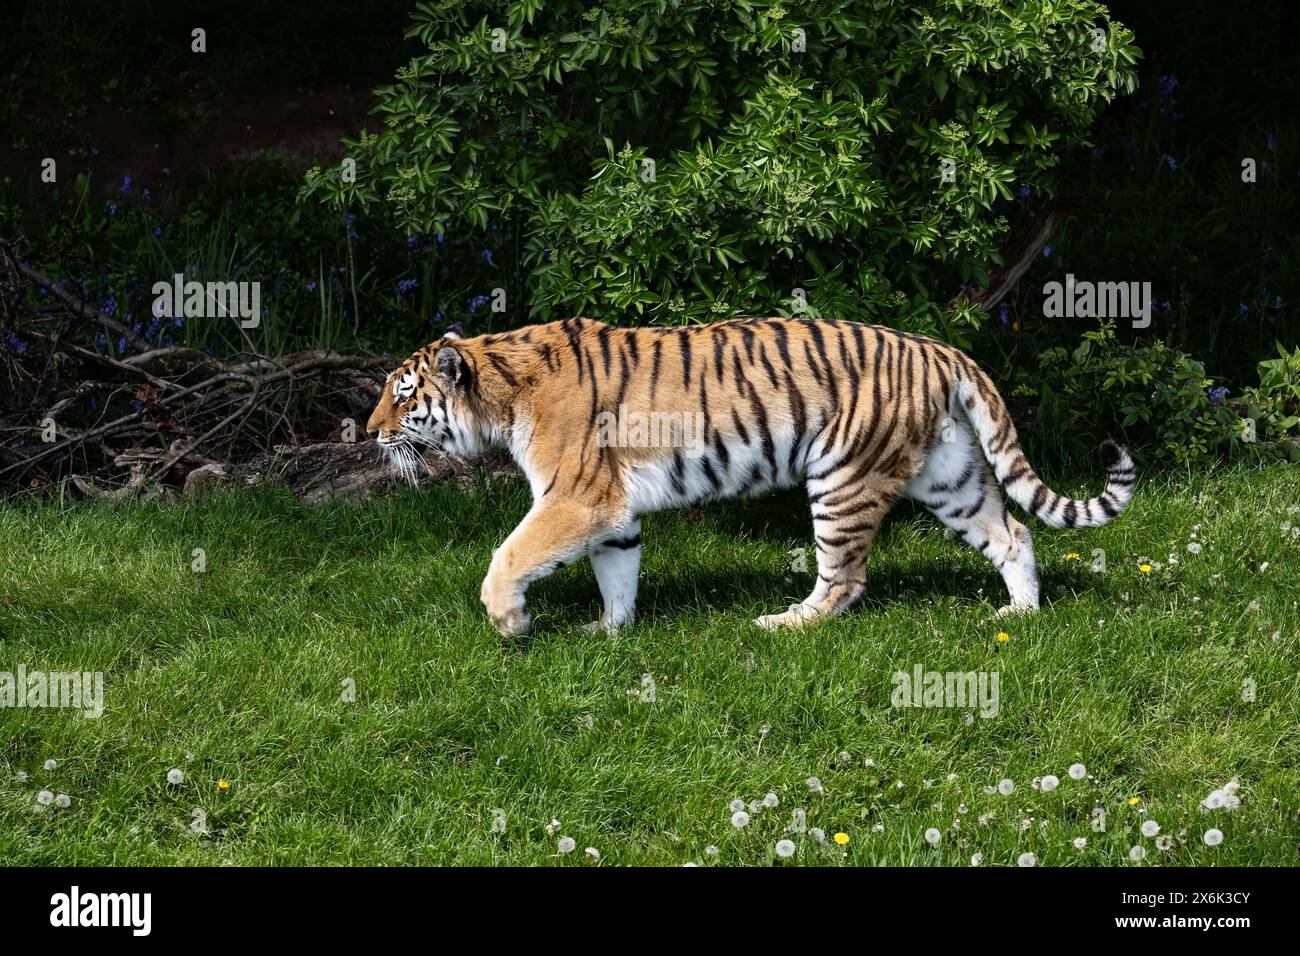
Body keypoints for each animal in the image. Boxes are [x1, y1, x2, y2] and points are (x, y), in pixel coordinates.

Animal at [365, 317, 1135, 636]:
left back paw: (784, 624)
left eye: (403, 397)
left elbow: (508, 555)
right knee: (1014, 534)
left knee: (846, 579)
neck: (502, 385)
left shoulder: (576, 497)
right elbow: (617, 573)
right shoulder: (612, 511)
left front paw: (511, 621)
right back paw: (1020, 614)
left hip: (841, 479)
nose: (369, 432)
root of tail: (940, 348)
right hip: (951, 479)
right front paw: (609, 630)